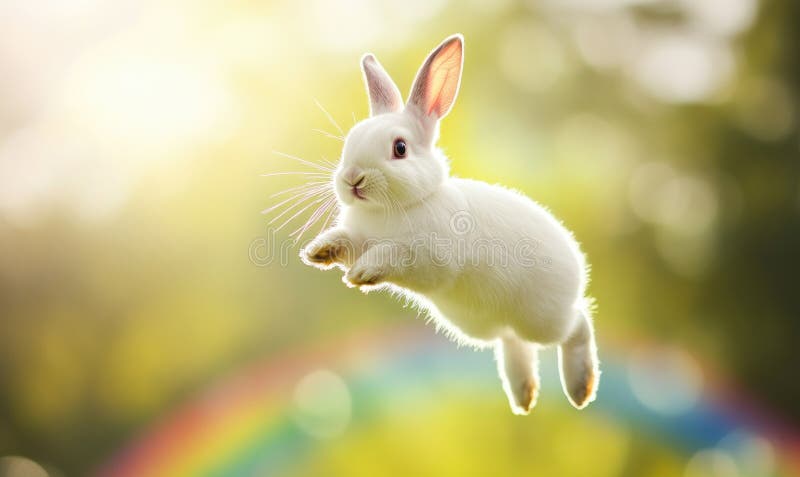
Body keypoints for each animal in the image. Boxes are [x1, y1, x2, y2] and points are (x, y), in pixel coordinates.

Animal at [300, 34, 599, 414]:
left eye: (400, 148)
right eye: (349, 143)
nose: (353, 178)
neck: (397, 207)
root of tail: (578, 267)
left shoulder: (426, 256)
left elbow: (392, 254)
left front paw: (364, 272)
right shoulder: (360, 236)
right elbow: (347, 240)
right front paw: (319, 252)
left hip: (543, 317)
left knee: (578, 324)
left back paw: (580, 387)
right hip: (484, 327)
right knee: (513, 341)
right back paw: (523, 395)